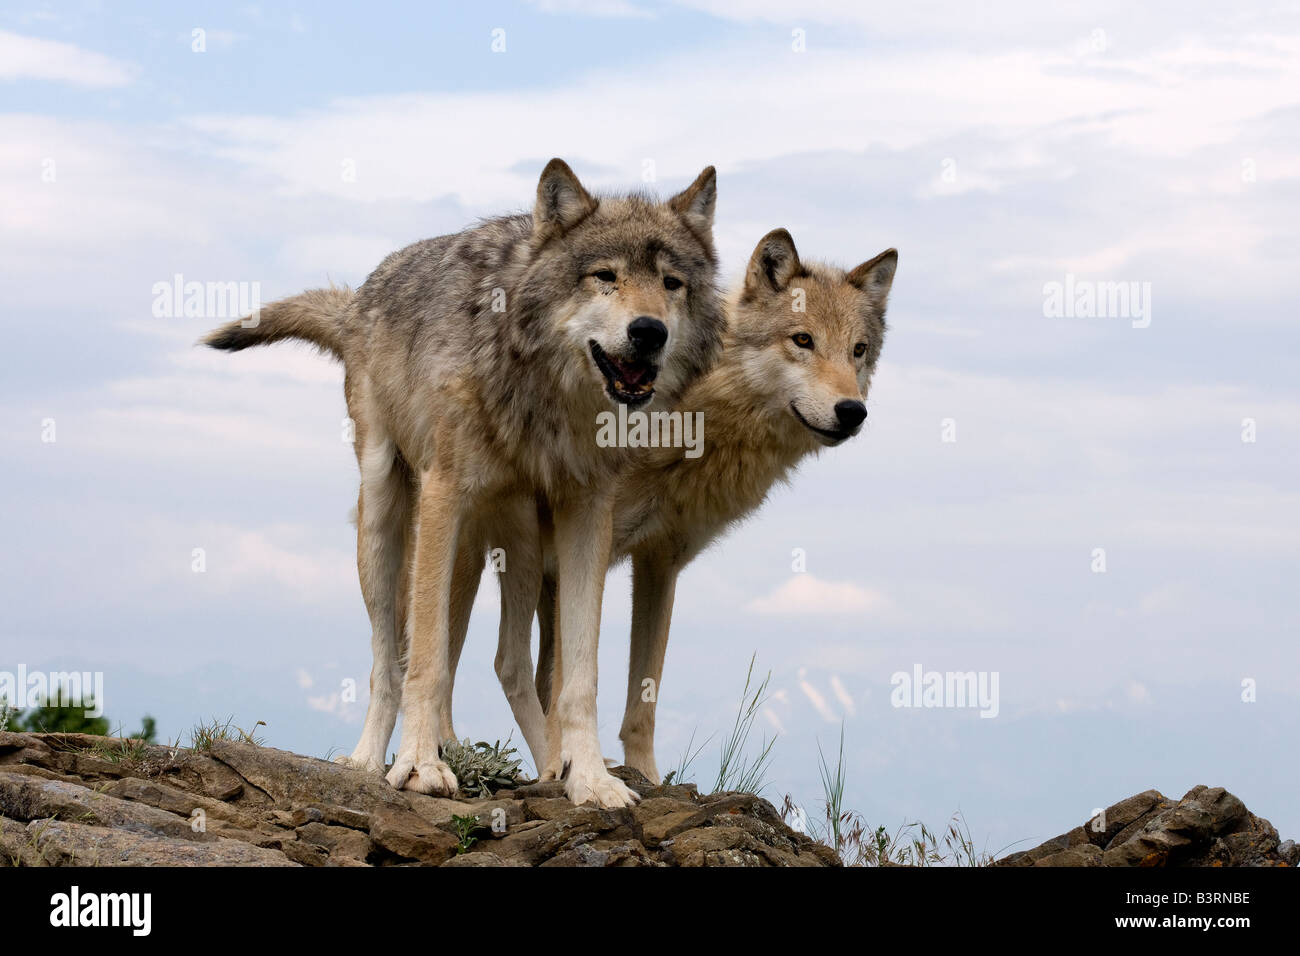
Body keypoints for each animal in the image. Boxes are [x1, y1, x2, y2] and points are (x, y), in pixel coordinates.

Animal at [203, 160, 724, 808]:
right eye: (605, 276)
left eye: (672, 283)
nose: (650, 331)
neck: (546, 391)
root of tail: (360, 297)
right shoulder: (444, 493)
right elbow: (424, 657)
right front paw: (420, 767)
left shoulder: (588, 513)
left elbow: (579, 674)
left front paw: (591, 780)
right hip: (387, 520)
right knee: (389, 659)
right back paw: (368, 761)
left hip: (513, 544)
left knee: (506, 660)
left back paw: (539, 766)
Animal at [444, 229, 898, 782]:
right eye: (803, 340)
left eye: (858, 351)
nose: (852, 411)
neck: (693, 419)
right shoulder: (575, 551)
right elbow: (563, 675)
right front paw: (573, 772)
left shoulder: (659, 563)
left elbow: (642, 695)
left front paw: (643, 776)